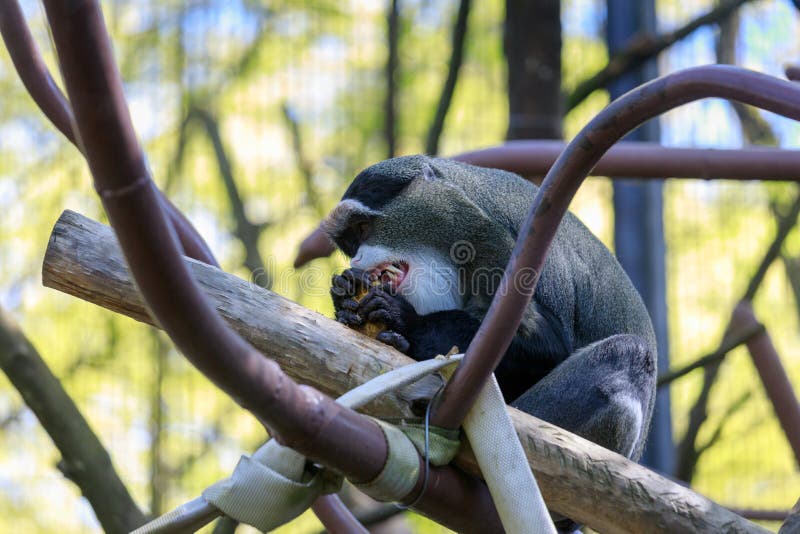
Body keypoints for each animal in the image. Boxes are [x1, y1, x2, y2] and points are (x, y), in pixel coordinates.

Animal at [324, 155, 656, 527]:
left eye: (363, 228)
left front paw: (404, 321)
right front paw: (345, 304)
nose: (356, 260)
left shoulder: (502, 244)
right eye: (350, 244)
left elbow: (546, 349)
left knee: (627, 354)